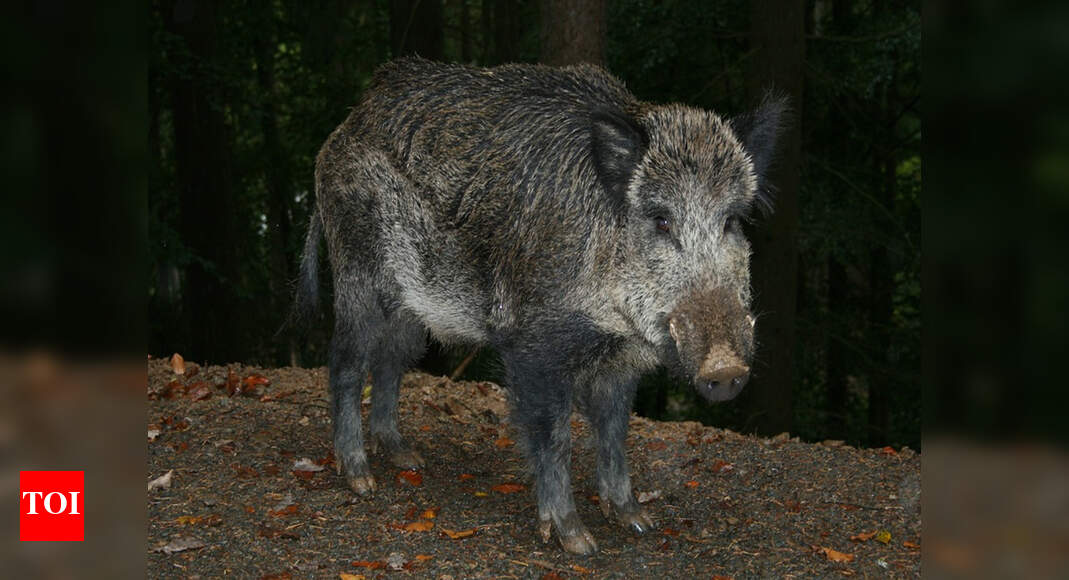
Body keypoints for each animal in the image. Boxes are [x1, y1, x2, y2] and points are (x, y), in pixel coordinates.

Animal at [295, 57, 786, 554]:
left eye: (730, 221)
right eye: (661, 220)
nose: (725, 369)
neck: (613, 320)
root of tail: (346, 126)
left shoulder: (621, 360)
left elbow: (615, 432)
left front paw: (636, 520)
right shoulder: (534, 346)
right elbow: (555, 436)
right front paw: (578, 541)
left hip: (413, 311)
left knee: (392, 360)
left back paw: (407, 458)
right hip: (358, 271)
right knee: (347, 361)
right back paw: (361, 480)